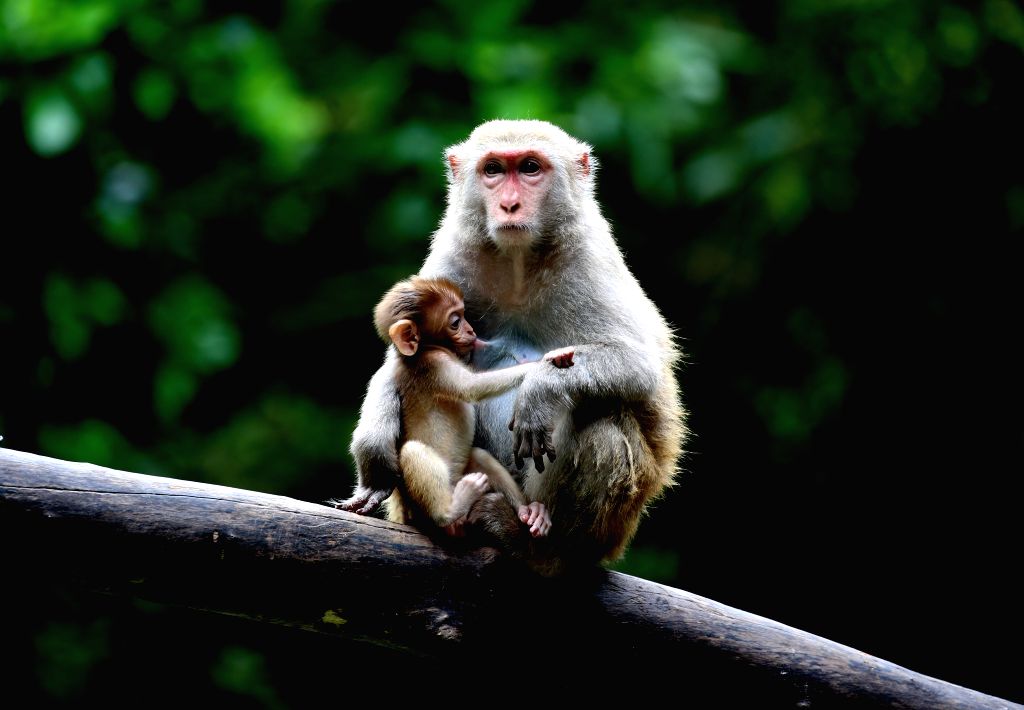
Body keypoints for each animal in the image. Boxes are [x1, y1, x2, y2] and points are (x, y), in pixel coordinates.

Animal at [371, 275, 574, 538]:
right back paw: (449, 512)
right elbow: (473, 387)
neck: (422, 352)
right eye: (456, 322)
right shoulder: (435, 364)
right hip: (421, 507)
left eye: (464, 315)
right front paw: (547, 360)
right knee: (413, 451)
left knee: (479, 456)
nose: (471, 330)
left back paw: (527, 511)